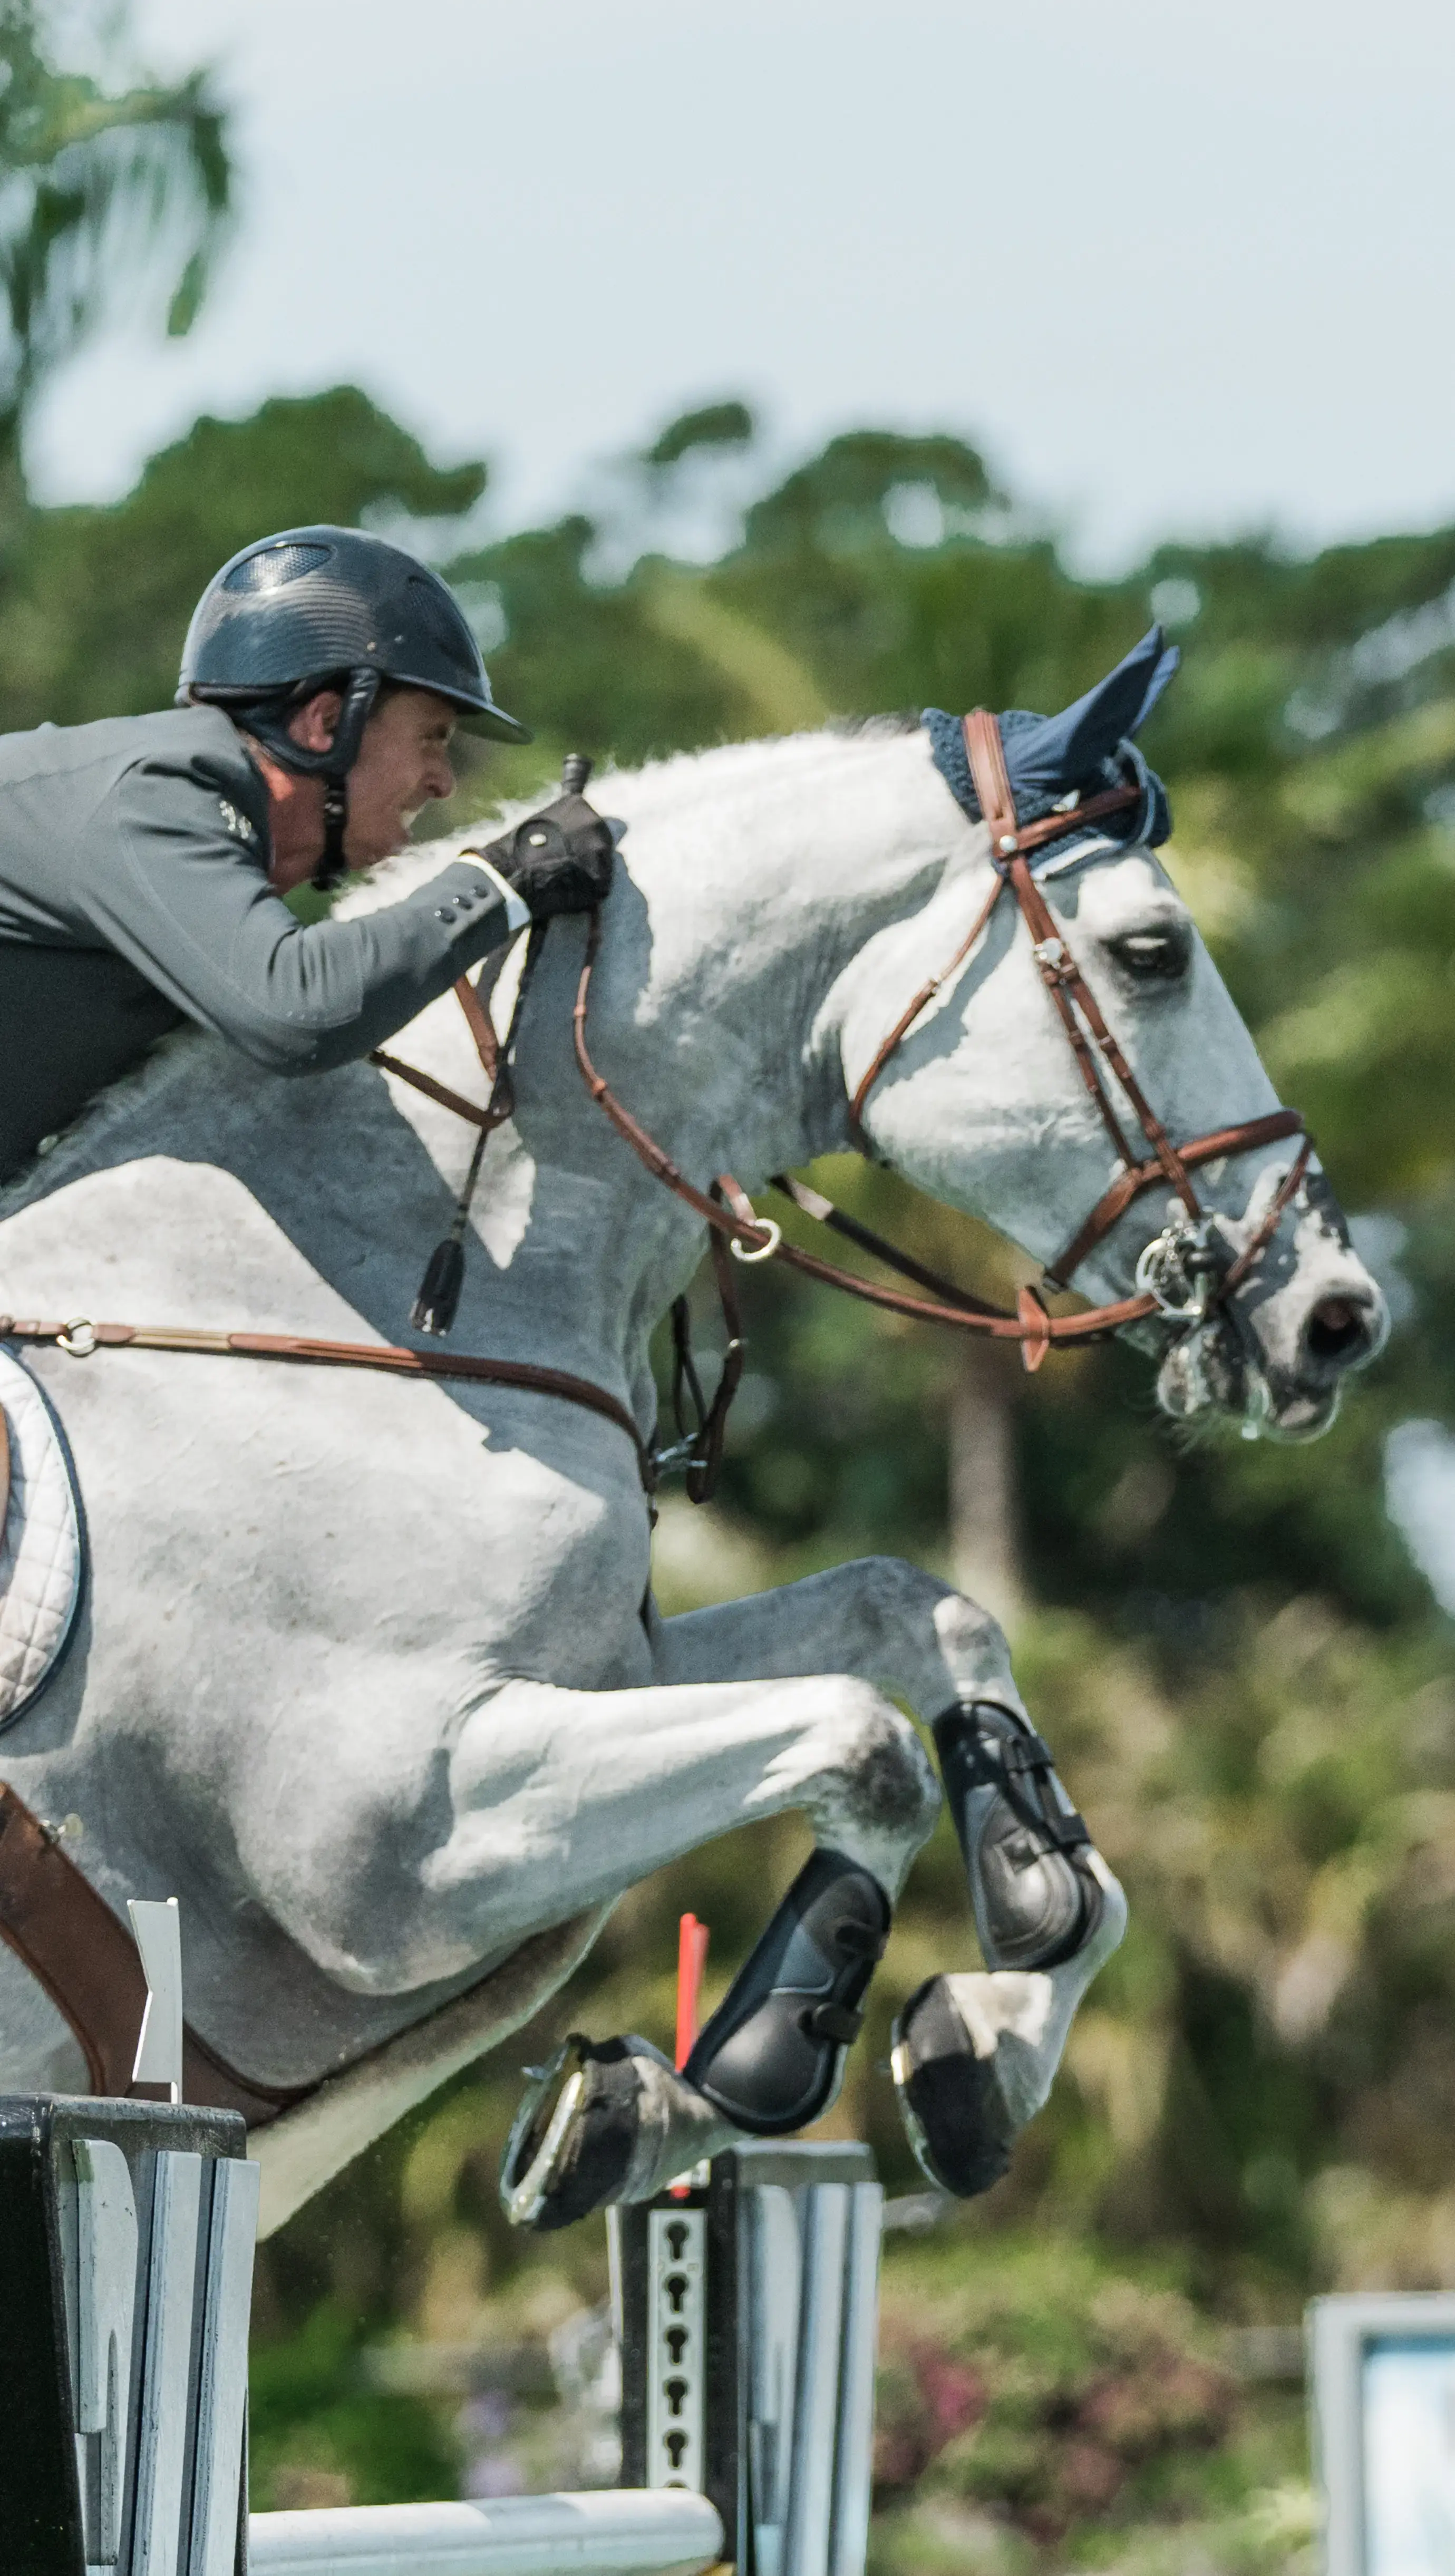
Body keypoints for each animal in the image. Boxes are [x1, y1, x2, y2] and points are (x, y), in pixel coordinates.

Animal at [0, 677, 1384, 2237]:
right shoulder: (392, 1851)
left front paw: (994, 2022)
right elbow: (865, 1741)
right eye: (1151, 951)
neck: (364, 1295)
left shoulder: (610, 1673)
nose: (1339, 1316)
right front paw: (709, 2080)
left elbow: (918, 1610)